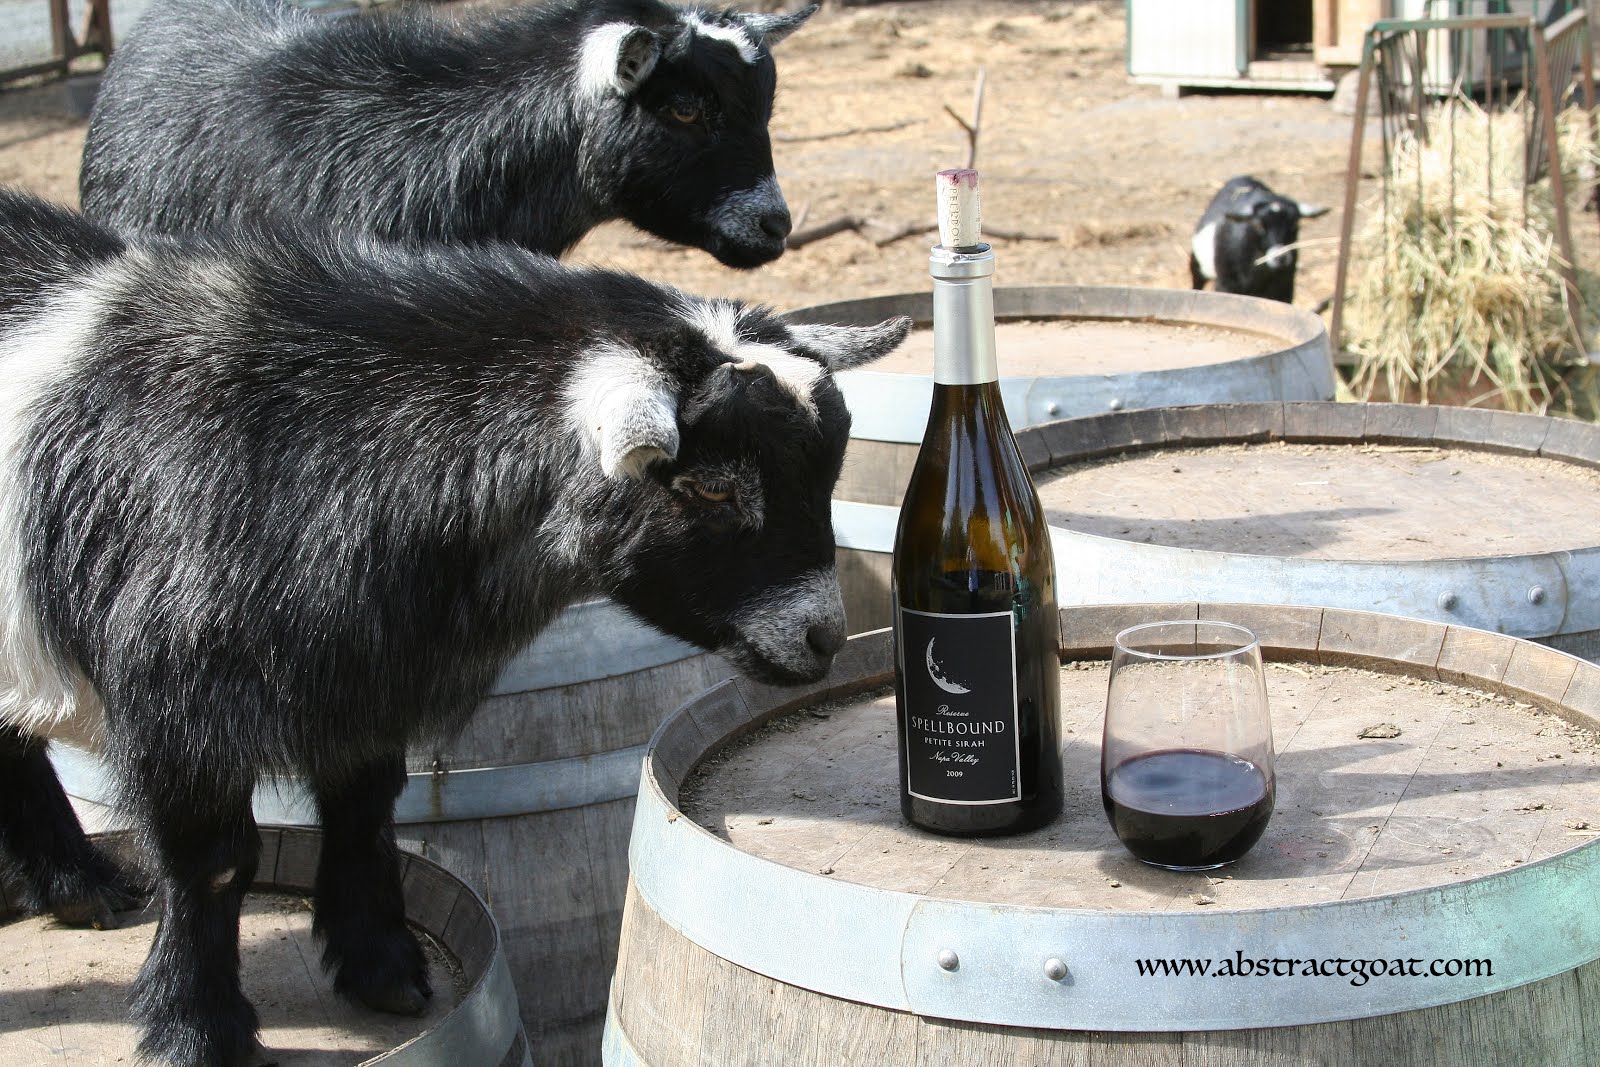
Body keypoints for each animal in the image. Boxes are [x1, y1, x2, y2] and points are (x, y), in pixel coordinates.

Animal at [0, 186, 908, 1066]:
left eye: (830, 469)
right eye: (713, 487)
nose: (823, 638)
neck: (306, 431)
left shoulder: (366, 677)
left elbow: (364, 809)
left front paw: (383, 967)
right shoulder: (180, 705)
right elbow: (216, 863)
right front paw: (198, 1029)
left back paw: (77, 883)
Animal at [1189, 175, 1329, 304]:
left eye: (1295, 224)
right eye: (1258, 225)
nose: (1281, 257)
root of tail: (1242, 177)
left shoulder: (1285, 289)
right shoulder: (1226, 285)